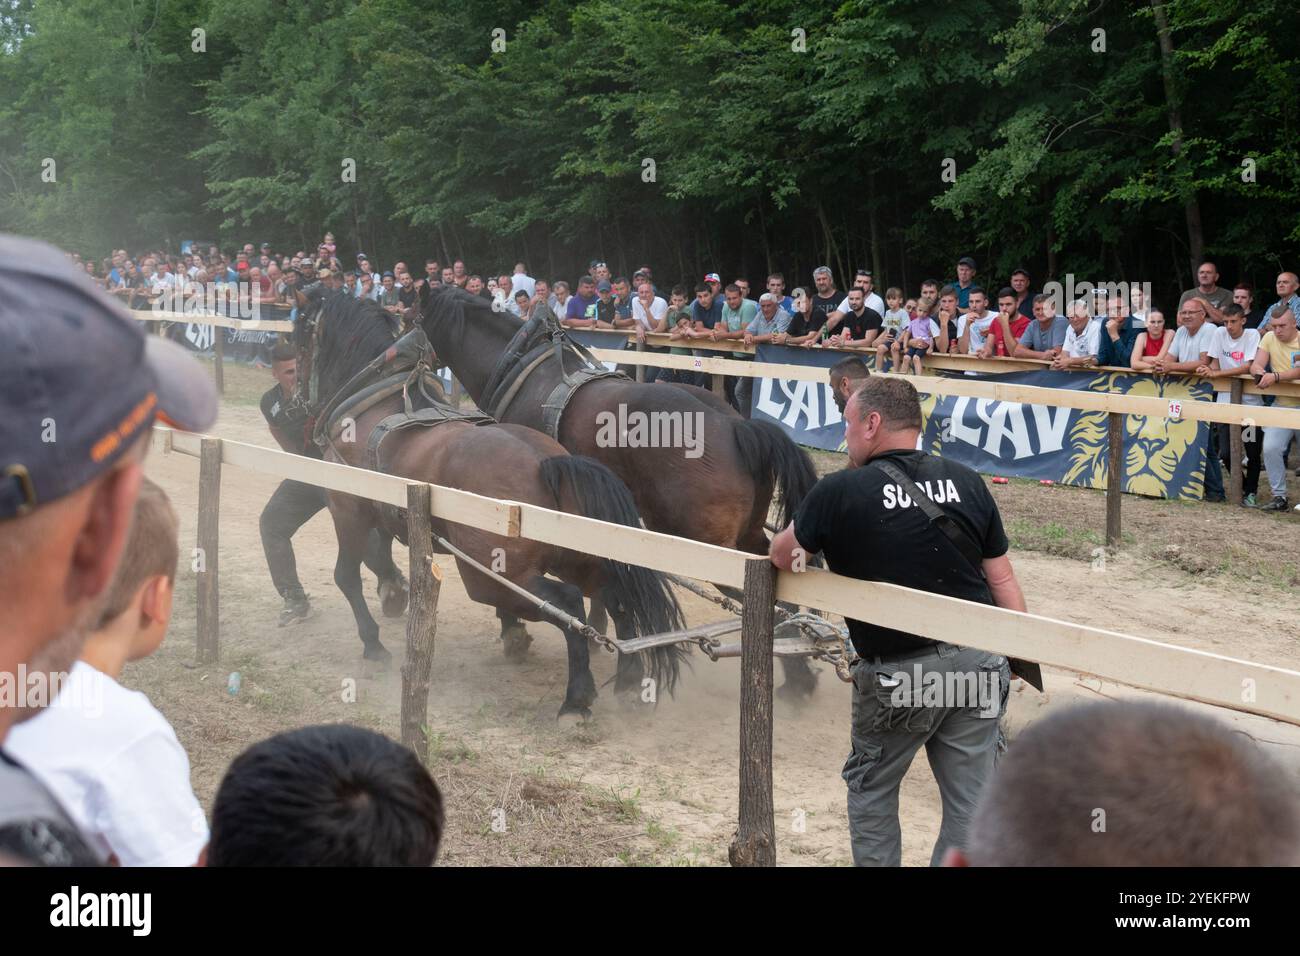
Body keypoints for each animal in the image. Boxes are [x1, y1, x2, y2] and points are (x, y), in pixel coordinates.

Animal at [294, 290, 685, 718]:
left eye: (299, 337)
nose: (295, 395)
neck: (377, 402)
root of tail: (547, 463)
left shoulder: (347, 510)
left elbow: (346, 576)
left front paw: (373, 643)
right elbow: (375, 557)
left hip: (490, 575)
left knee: (568, 605)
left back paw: (576, 699)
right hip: (572, 560)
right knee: (614, 593)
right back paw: (629, 679)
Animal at [415, 287, 823, 699]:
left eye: (413, 318)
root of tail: (737, 427)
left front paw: (514, 628)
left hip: (712, 549)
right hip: (749, 536)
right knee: (787, 601)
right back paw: (799, 676)